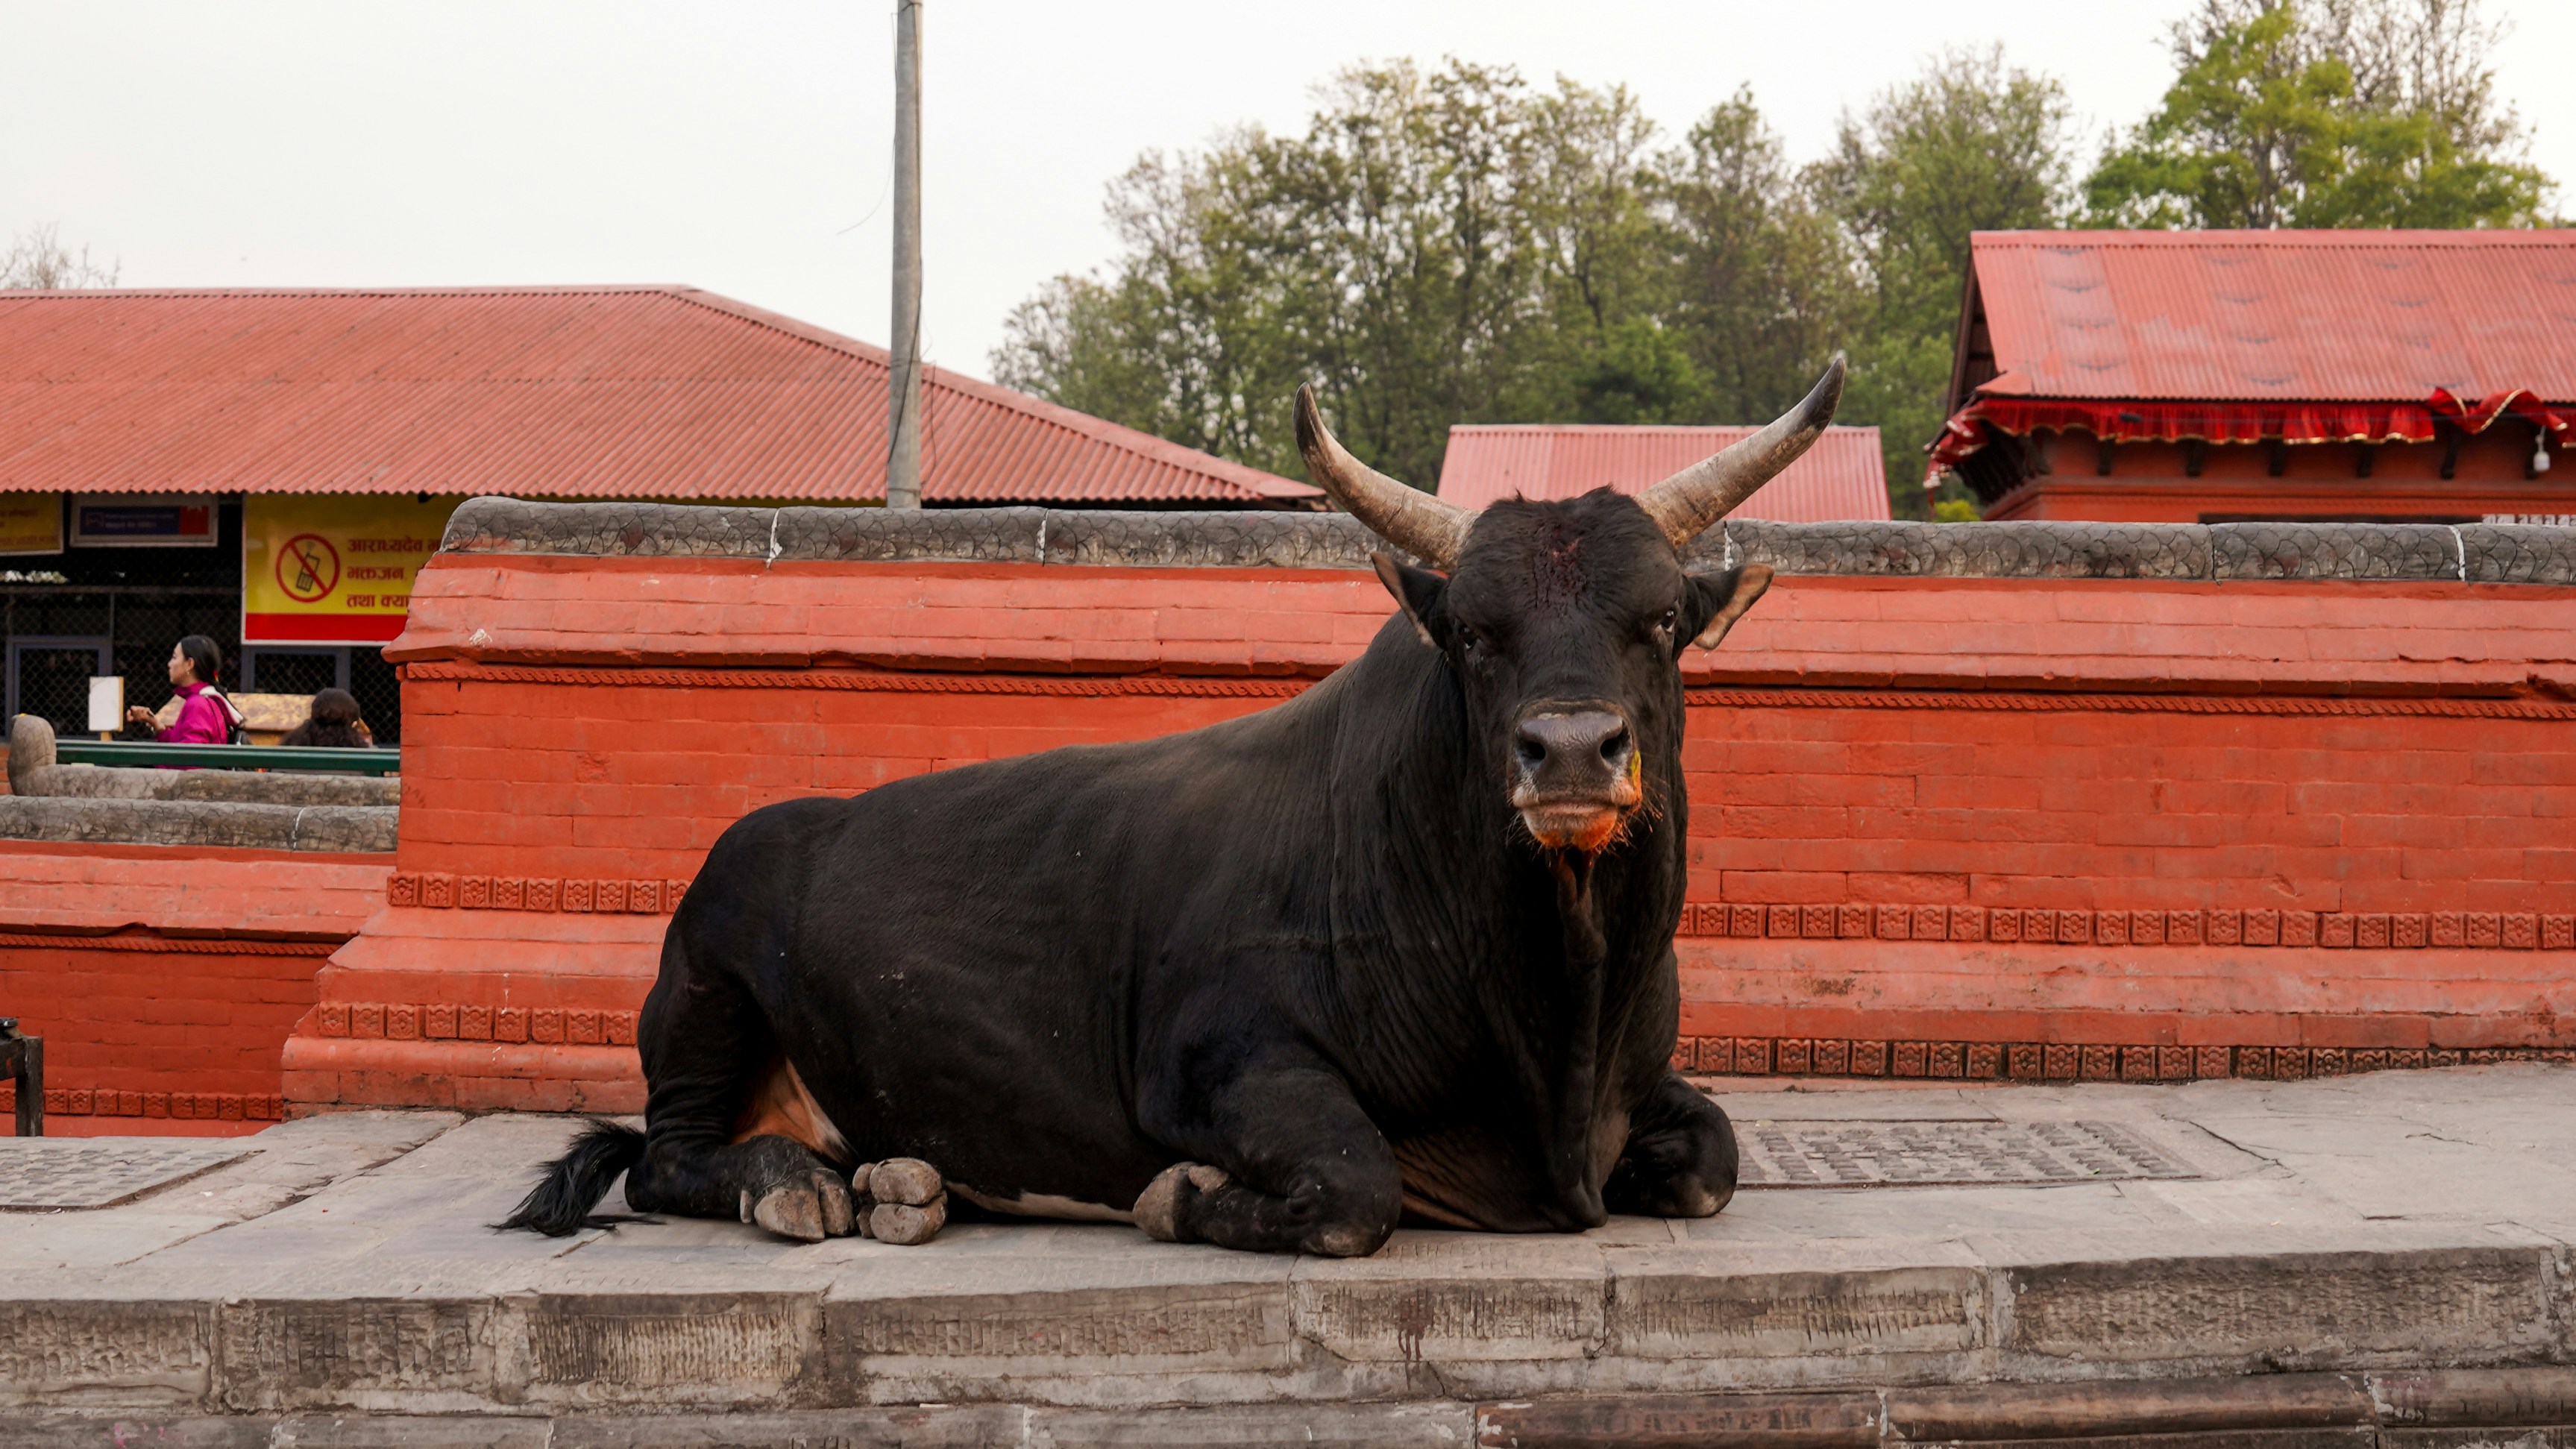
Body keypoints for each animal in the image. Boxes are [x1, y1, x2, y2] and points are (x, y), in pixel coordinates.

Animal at [503, 359, 1844, 1256]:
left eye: (1659, 618)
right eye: (1471, 631)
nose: (1567, 749)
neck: (1553, 1006)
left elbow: (1716, 1157)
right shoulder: (1224, 1065)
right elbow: (1352, 1188)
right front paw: (1180, 1193)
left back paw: (898, 1181)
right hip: (704, 995)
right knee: (664, 1155)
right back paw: (796, 1183)